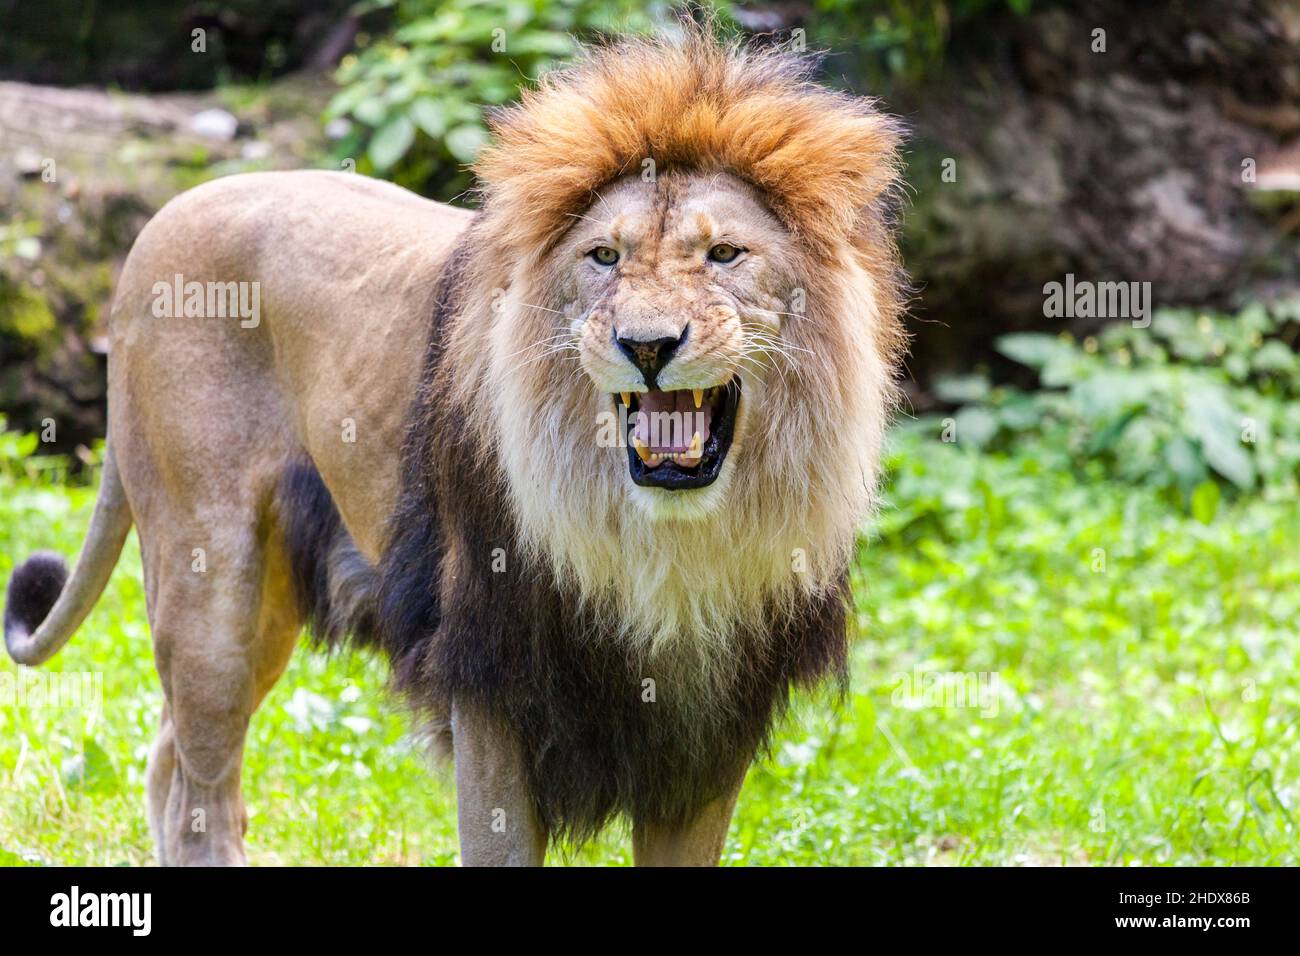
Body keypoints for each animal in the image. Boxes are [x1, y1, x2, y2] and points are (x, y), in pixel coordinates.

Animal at [3, 29, 905, 865]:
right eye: (603, 256)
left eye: (724, 254)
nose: (647, 345)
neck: (662, 544)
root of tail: (160, 221)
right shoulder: (491, 677)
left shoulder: (710, 727)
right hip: (207, 582)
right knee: (202, 785)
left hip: (268, 600)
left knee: (173, 762)